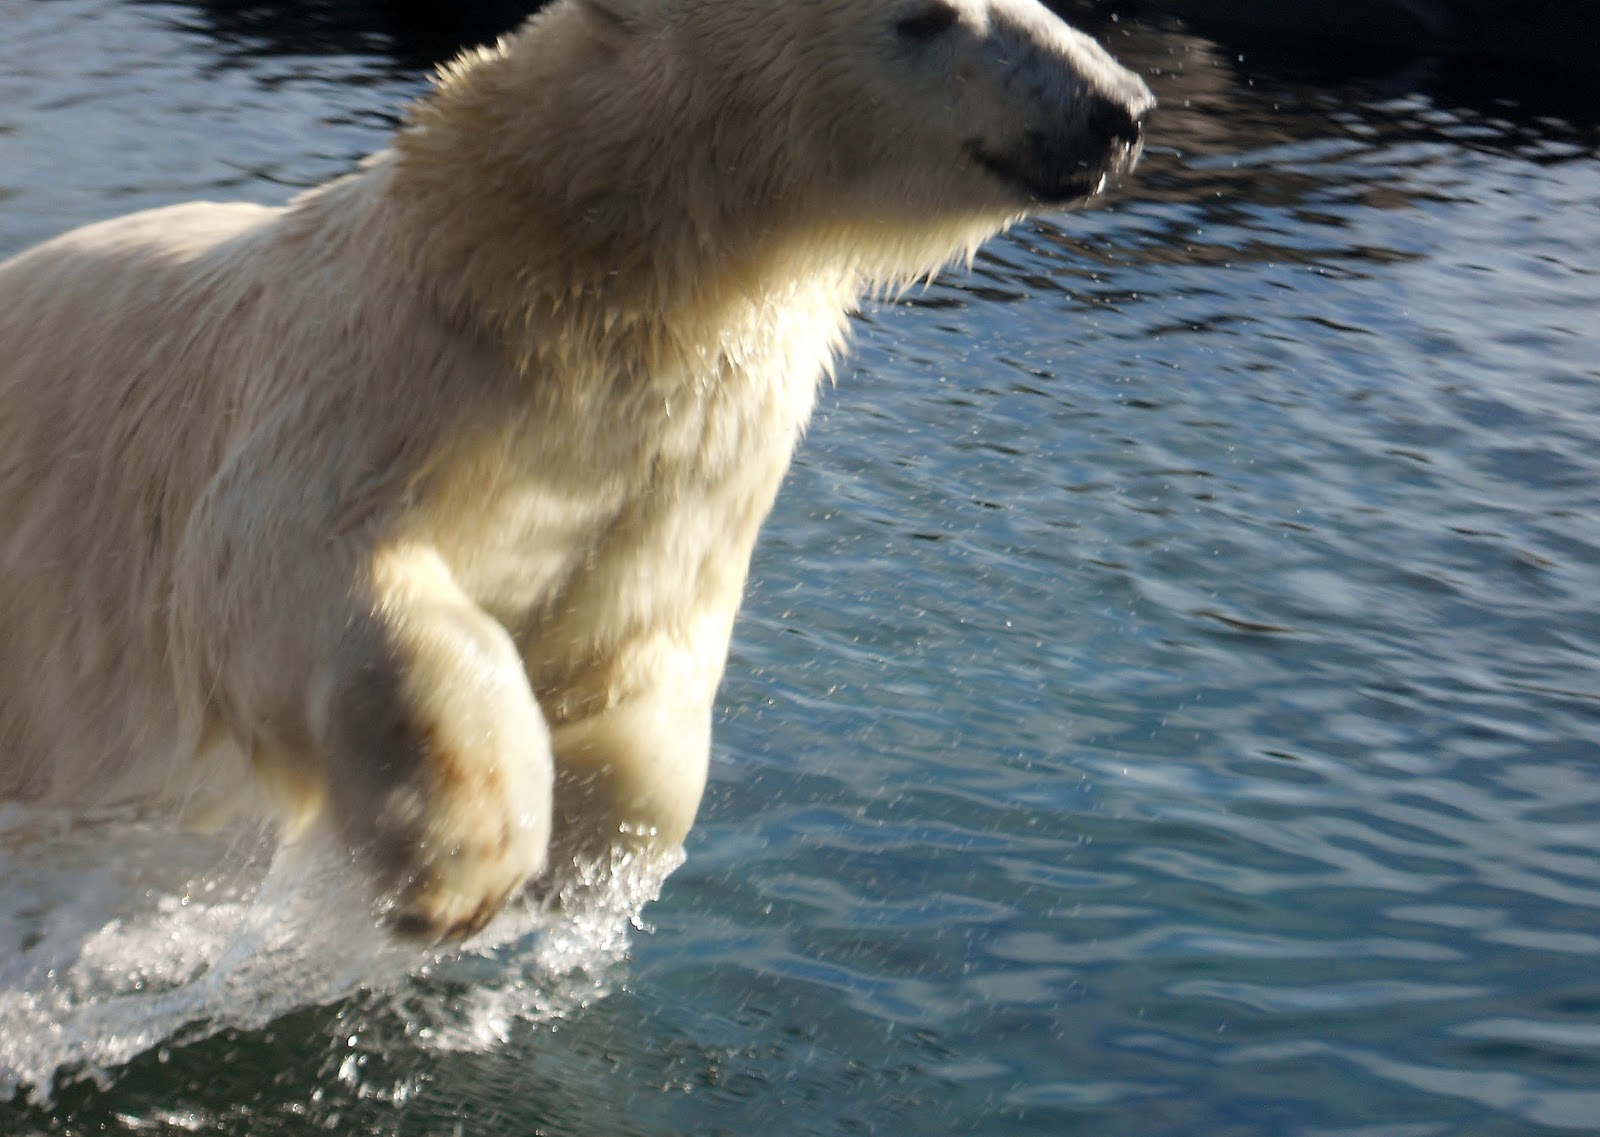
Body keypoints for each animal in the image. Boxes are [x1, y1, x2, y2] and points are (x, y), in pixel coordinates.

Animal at [0, 0, 1151, 941]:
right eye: (927, 15)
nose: (1120, 110)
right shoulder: (382, 372)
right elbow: (287, 571)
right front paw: (461, 868)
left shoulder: (689, 452)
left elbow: (631, 642)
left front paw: (591, 858)